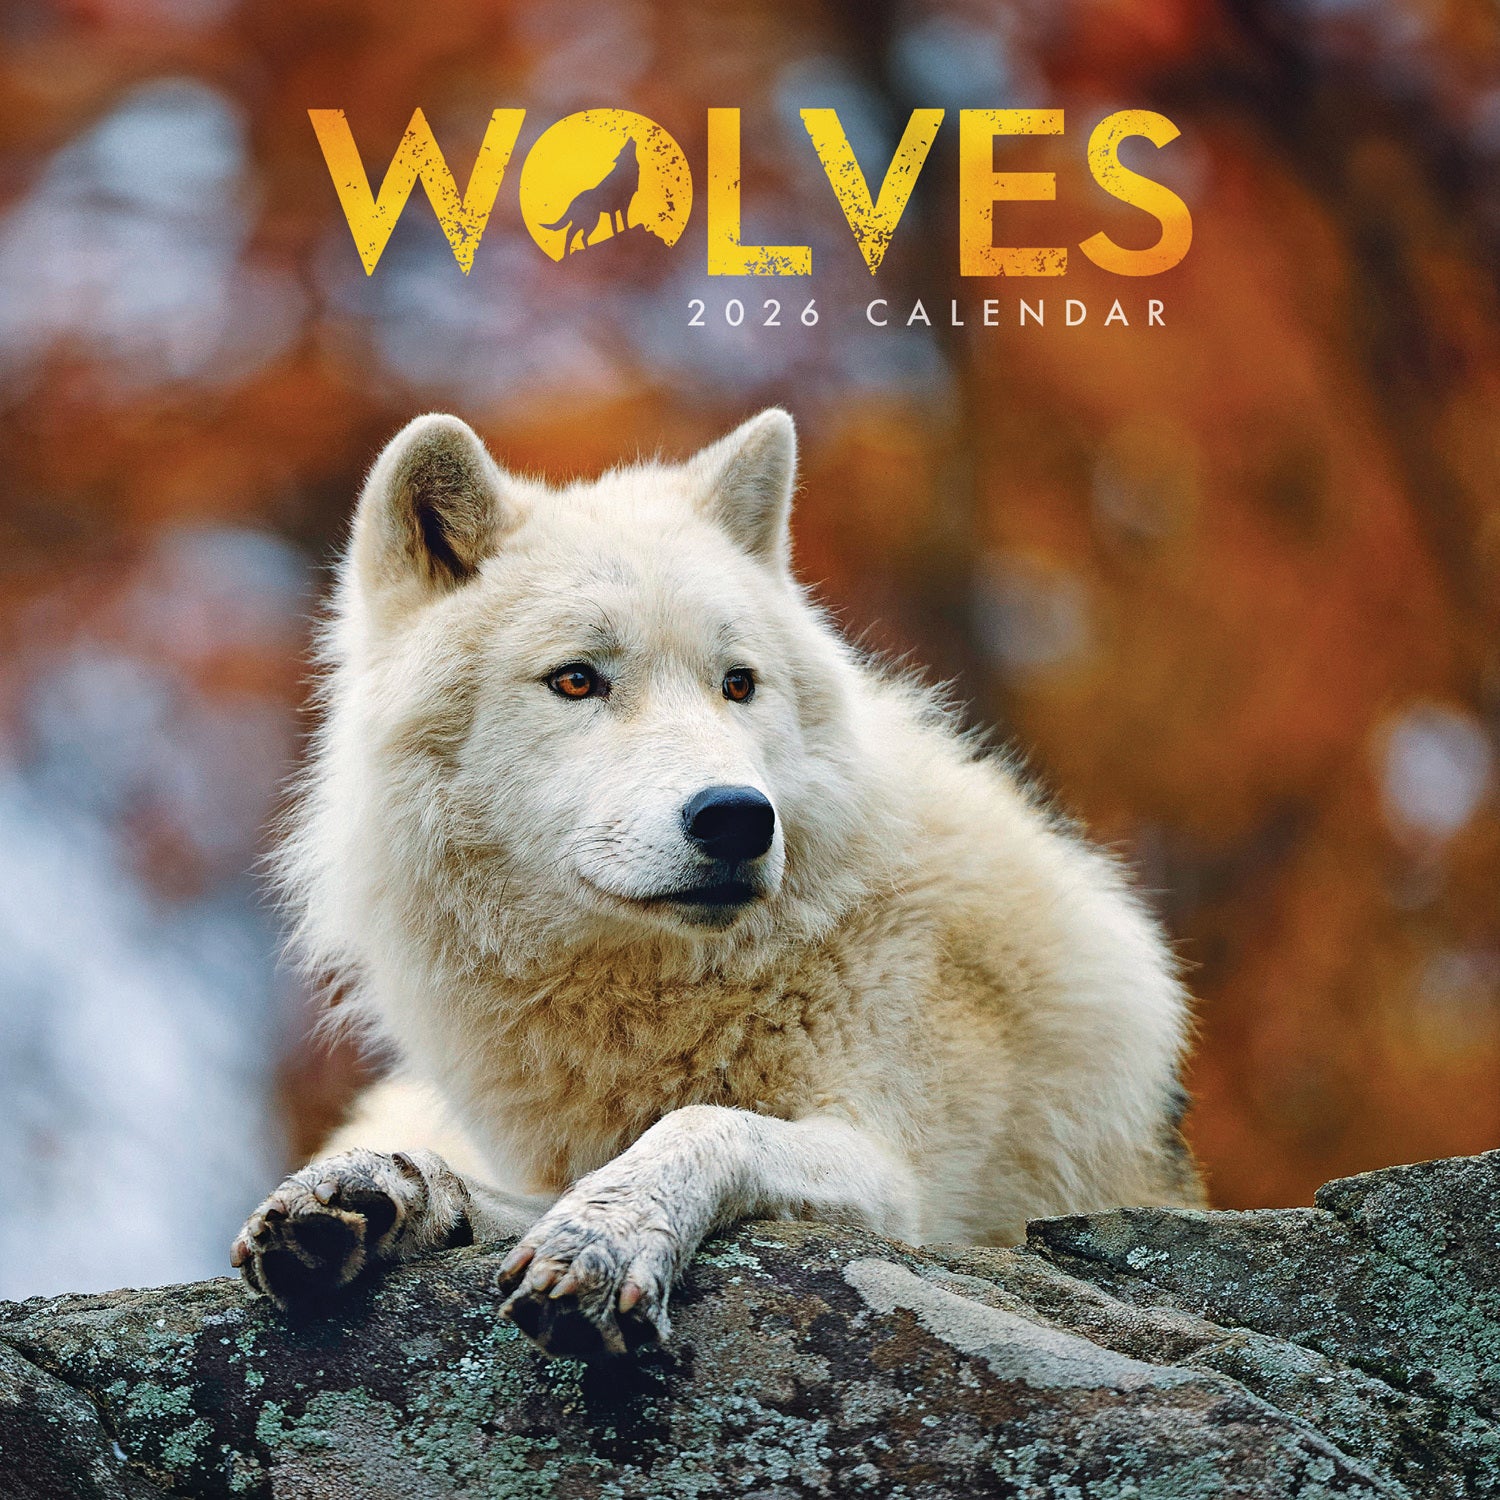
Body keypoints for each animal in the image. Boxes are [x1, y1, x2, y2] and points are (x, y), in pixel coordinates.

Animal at [233, 409, 1204, 1359]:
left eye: (738, 684)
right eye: (576, 680)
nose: (738, 816)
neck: (668, 995)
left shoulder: (900, 1186)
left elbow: (705, 1123)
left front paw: (602, 1237)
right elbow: (508, 1186)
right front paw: (376, 1195)